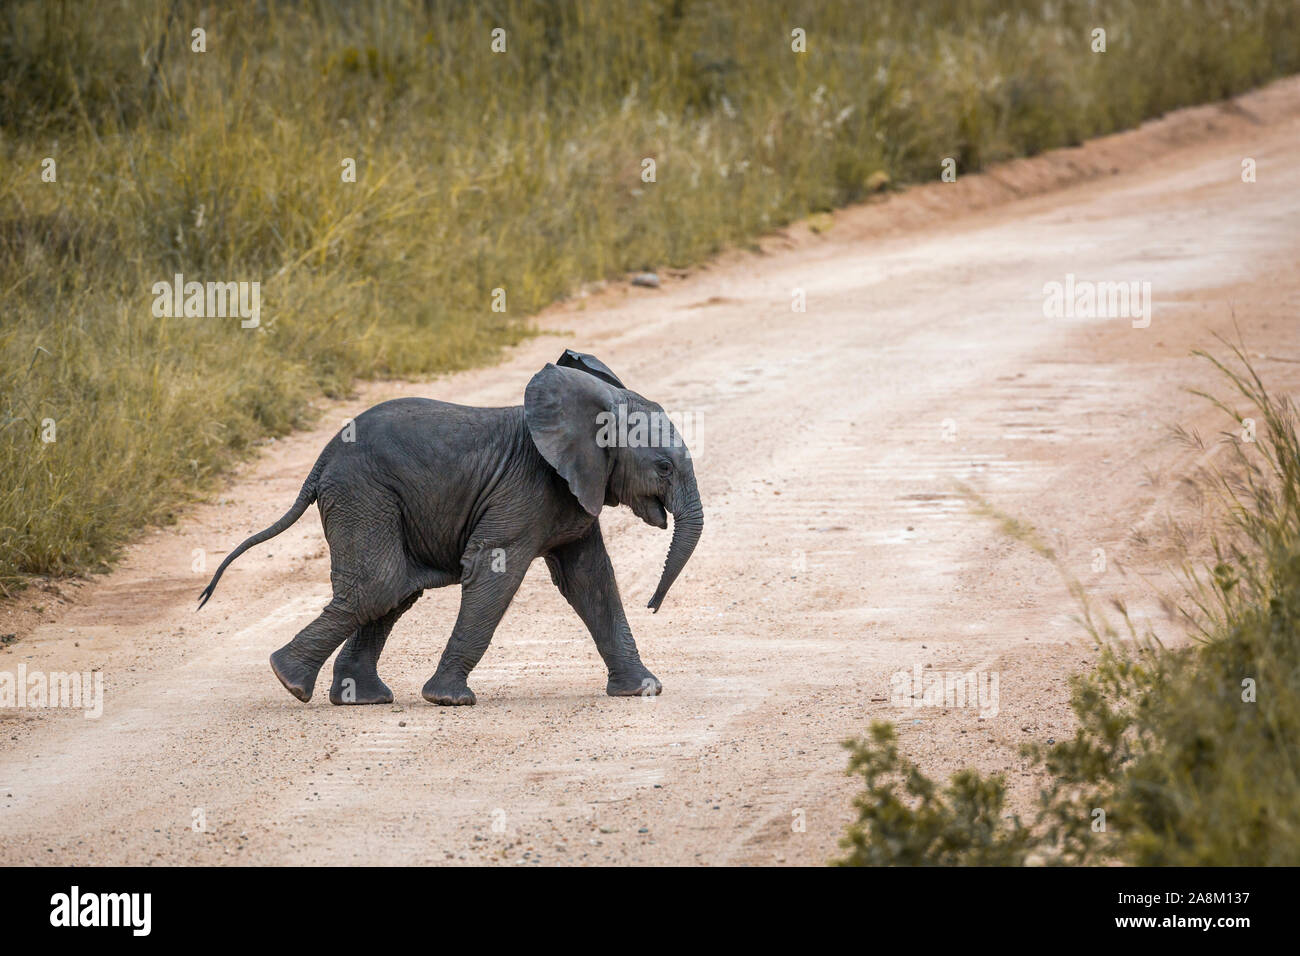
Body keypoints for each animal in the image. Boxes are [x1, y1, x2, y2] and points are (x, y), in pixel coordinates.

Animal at [197, 350, 703, 706]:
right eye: (663, 467)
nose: (653, 605)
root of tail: (322, 460)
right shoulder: (527, 489)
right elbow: (496, 573)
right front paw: (449, 700)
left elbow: (590, 580)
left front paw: (642, 690)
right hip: (364, 493)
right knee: (380, 585)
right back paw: (289, 680)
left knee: (393, 591)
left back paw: (357, 698)